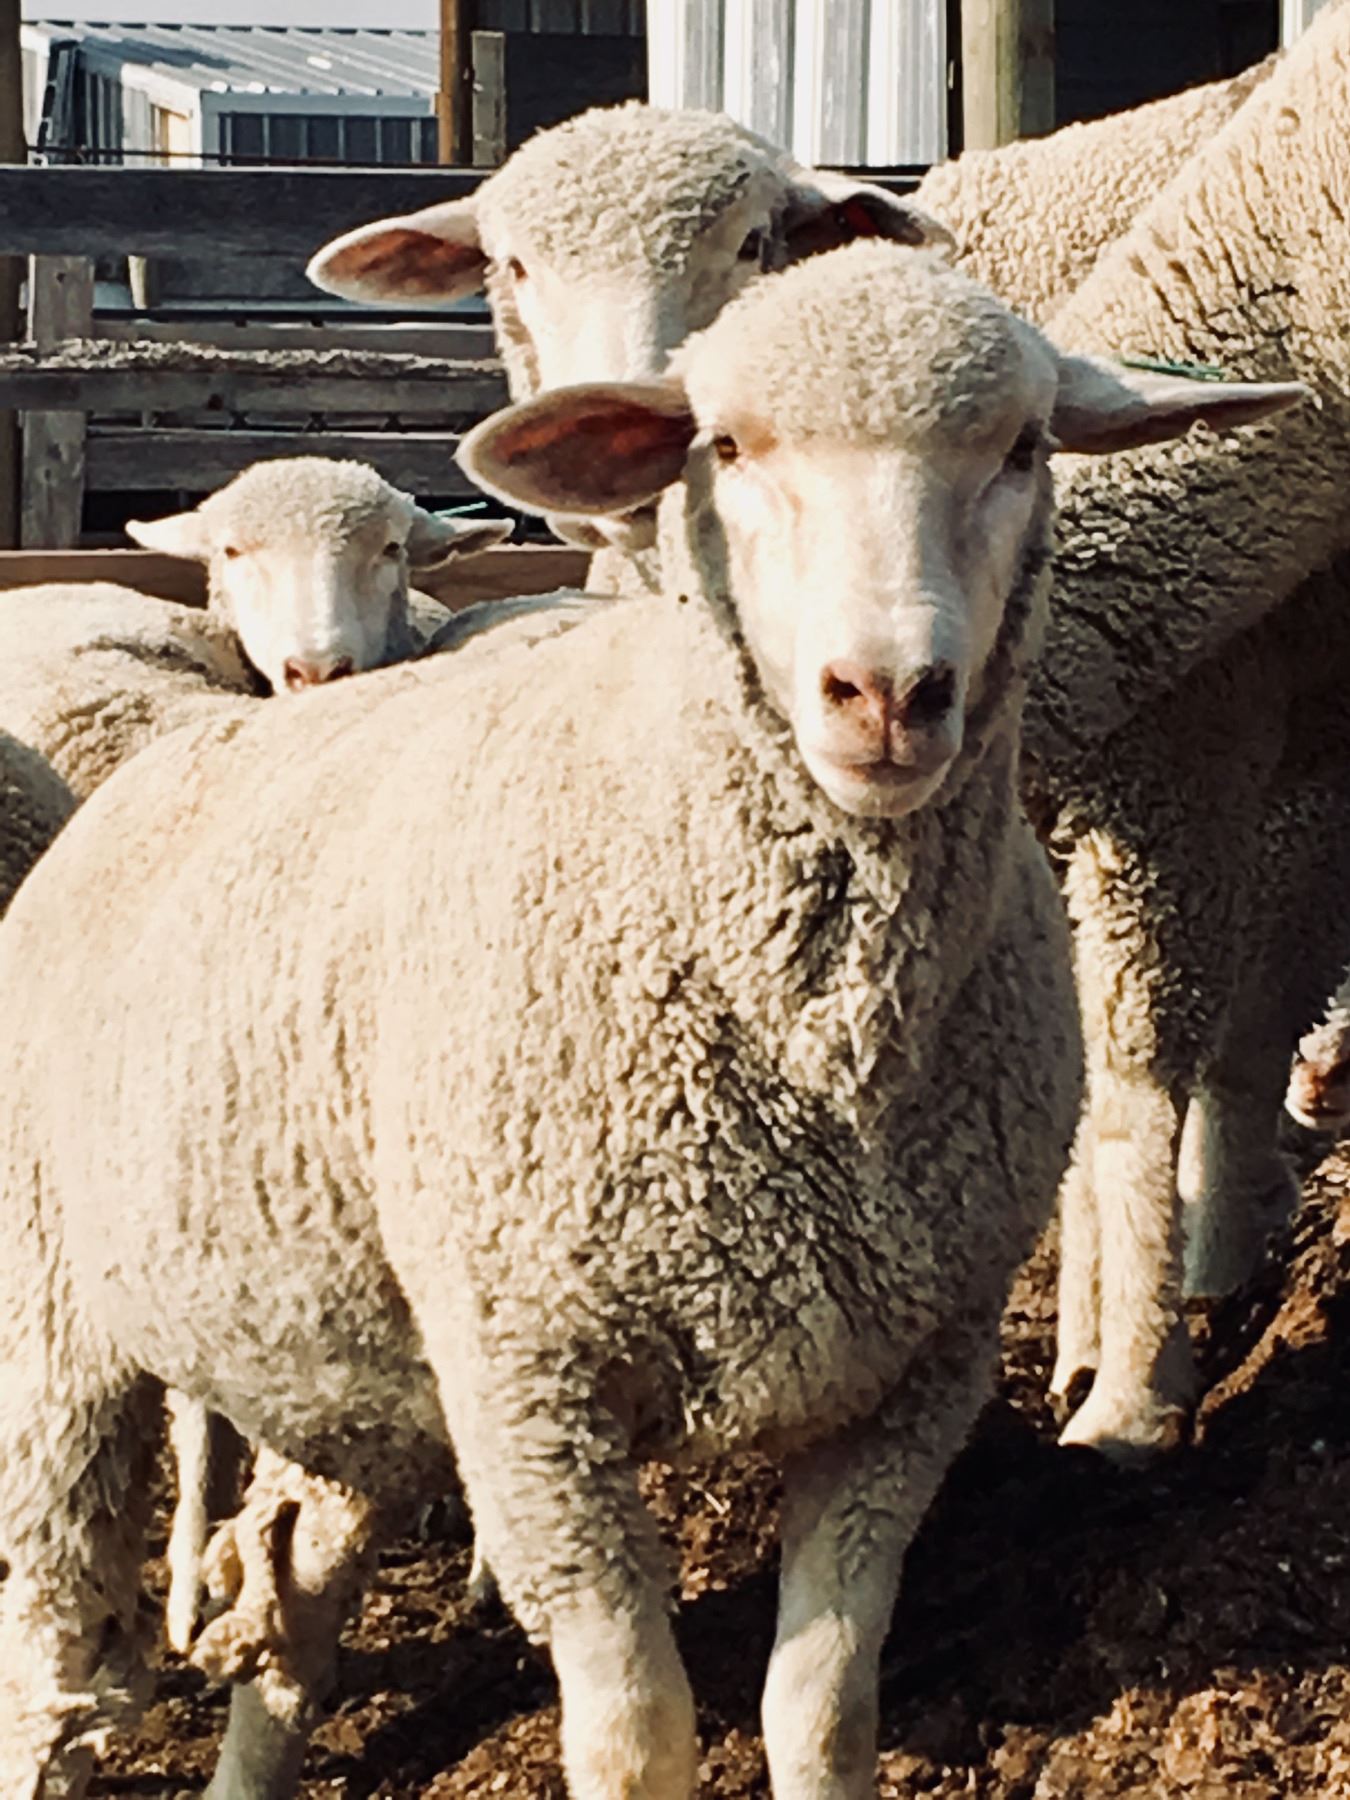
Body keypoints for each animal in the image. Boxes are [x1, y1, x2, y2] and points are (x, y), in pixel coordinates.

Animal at [0, 242, 1290, 1800]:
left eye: (1023, 448)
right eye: (725, 448)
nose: (887, 695)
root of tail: (185, 745)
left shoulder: (910, 1382)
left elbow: (822, 1712)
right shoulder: (534, 1389)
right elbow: (634, 1736)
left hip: (339, 1356)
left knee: (295, 1591)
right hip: (56, 1318)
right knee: (52, 1641)